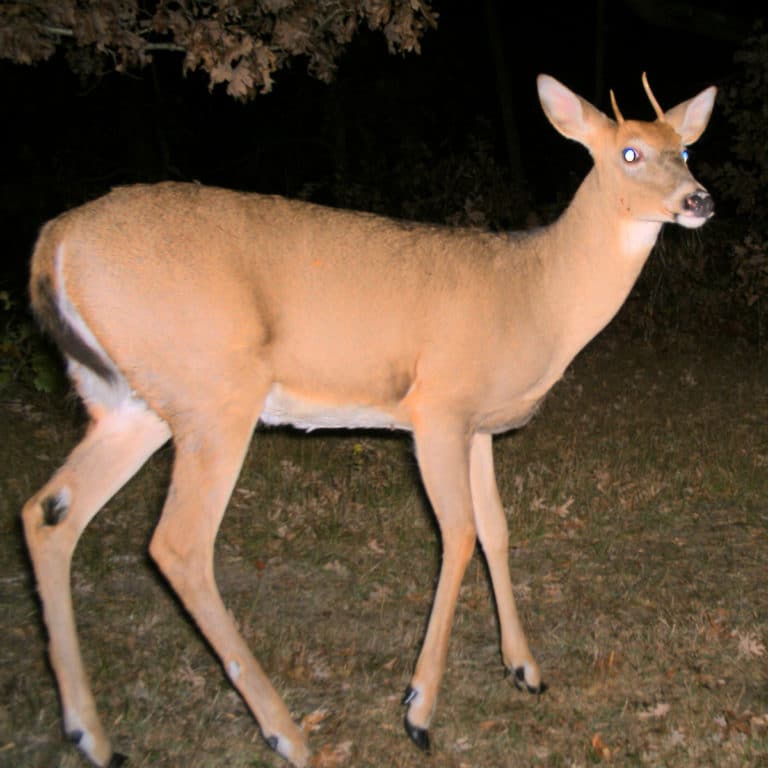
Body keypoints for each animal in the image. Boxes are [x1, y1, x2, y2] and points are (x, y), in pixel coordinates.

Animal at [22, 72, 715, 767]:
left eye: (683, 148)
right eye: (629, 152)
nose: (700, 199)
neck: (538, 295)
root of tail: (54, 241)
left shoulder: (480, 427)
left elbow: (496, 529)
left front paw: (525, 670)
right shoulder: (437, 406)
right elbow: (458, 534)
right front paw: (418, 710)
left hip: (130, 403)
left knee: (48, 512)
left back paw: (91, 734)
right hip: (215, 391)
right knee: (177, 543)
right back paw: (287, 732)